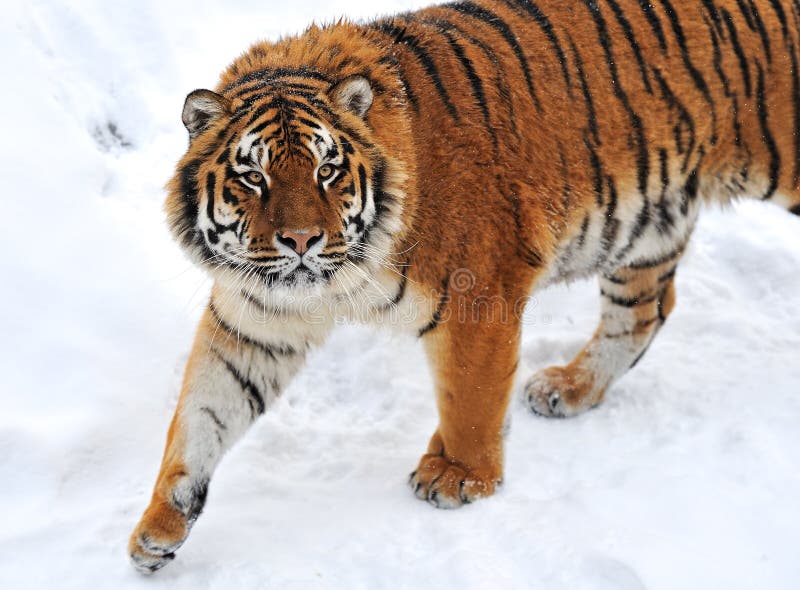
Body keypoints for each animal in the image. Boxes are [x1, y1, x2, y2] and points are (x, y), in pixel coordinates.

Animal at [129, 0, 800, 573]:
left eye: (327, 170)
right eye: (253, 176)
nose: (301, 241)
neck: (331, 280)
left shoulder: (479, 294)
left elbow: (470, 399)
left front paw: (459, 477)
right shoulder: (253, 319)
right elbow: (202, 412)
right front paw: (158, 528)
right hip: (649, 226)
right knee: (645, 311)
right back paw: (570, 388)